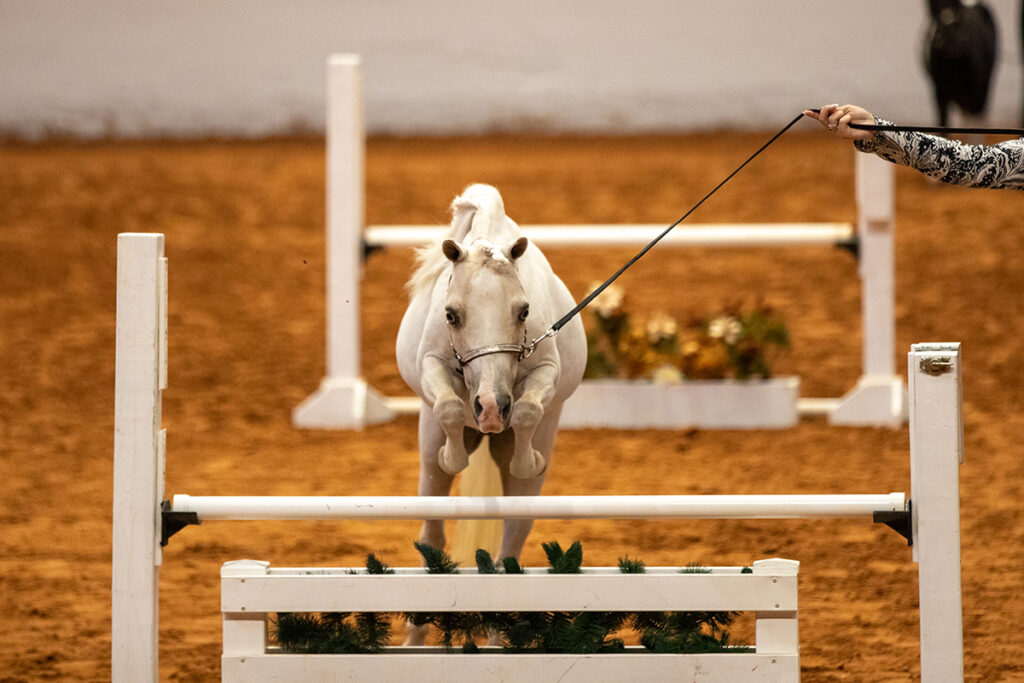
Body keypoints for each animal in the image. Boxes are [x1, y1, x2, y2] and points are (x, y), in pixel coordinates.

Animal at [396, 183, 586, 581]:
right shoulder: (431, 366)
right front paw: (452, 457)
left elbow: (528, 411)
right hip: (428, 447)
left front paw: (528, 460)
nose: (491, 410)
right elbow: (450, 408)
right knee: (432, 525)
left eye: (524, 311)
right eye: (451, 315)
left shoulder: (545, 368)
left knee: (516, 526)